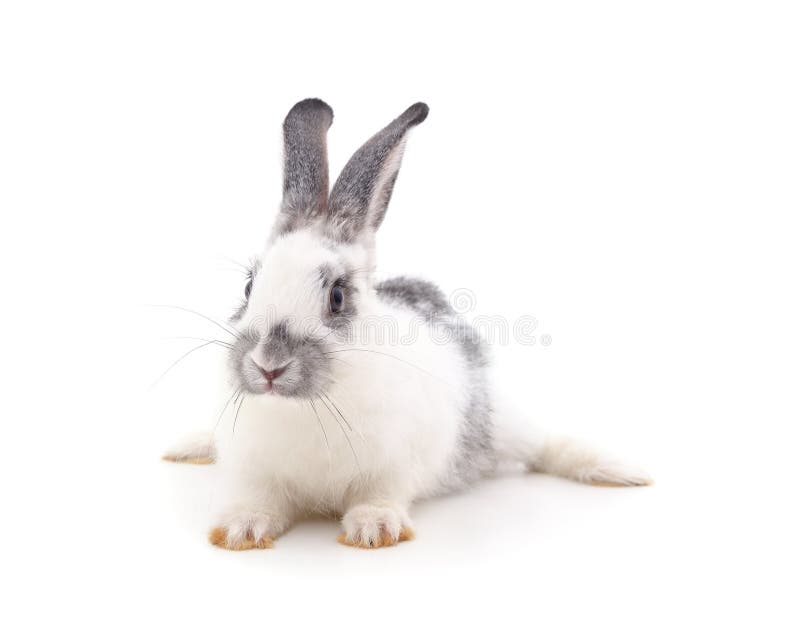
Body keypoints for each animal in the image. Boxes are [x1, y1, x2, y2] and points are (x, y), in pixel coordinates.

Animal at [162, 98, 651, 550]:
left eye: (337, 296)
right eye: (249, 286)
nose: (267, 365)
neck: (309, 408)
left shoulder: (394, 466)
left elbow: (380, 495)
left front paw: (374, 529)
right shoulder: (254, 471)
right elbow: (258, 500)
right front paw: (240, 529)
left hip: (503, 426)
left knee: (547, 445)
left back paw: (620, 472)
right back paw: (188, 447)